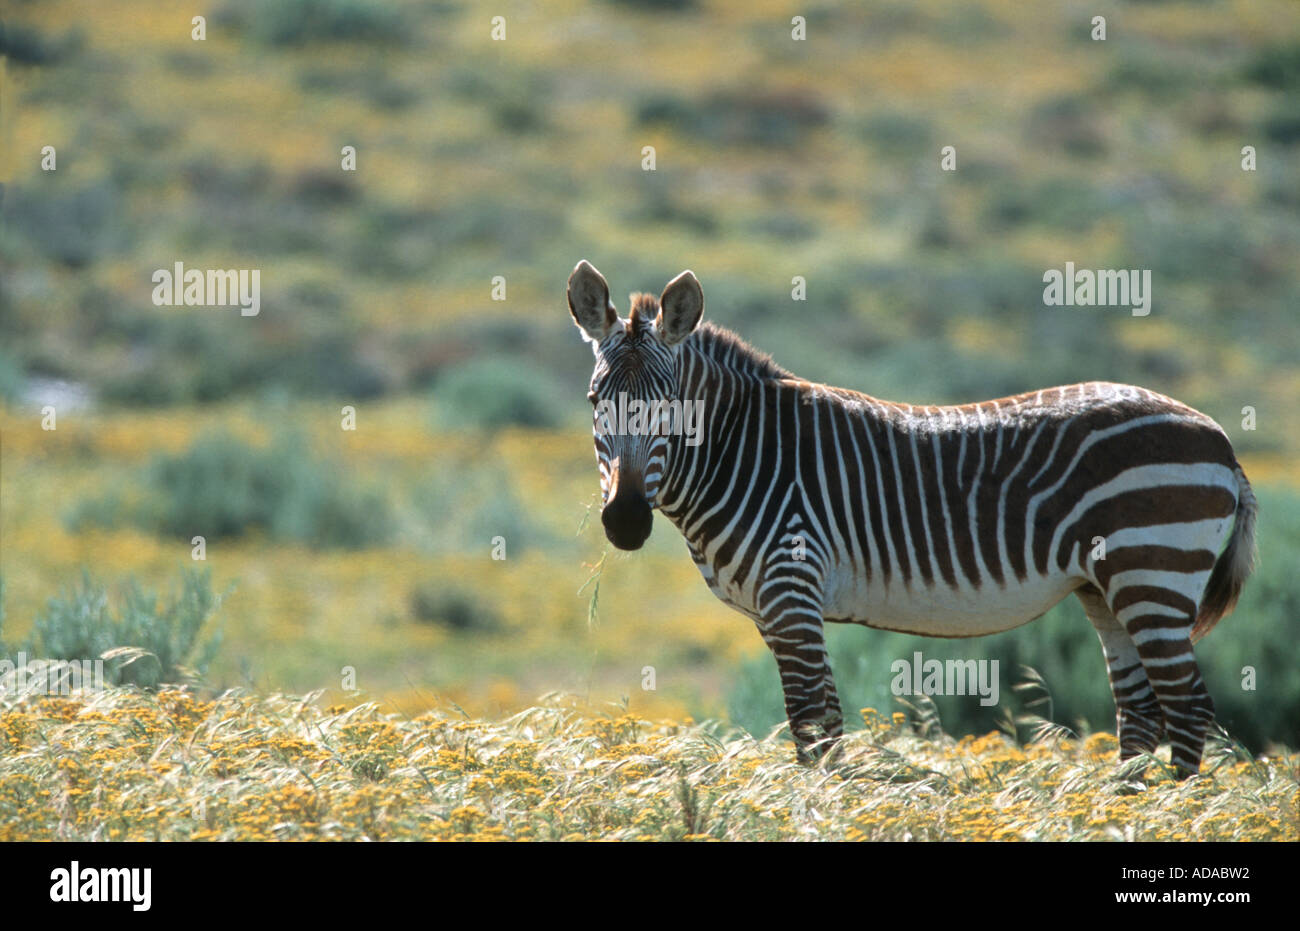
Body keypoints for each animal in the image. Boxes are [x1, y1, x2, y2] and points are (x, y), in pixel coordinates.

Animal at [567, 259, 1258, 778]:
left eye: (671, 407)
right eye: (597, 400)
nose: (625, 522)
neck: (745, 450)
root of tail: (1219, 436)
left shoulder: (791, 589)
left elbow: (811, 724)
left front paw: (815, 810)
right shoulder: (777, 608)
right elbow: (824, 722)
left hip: (1152, 572)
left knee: (1186, 706)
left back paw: (1167, 810)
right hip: (1105, 588)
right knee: (1140, 710)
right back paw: (1121, 805)